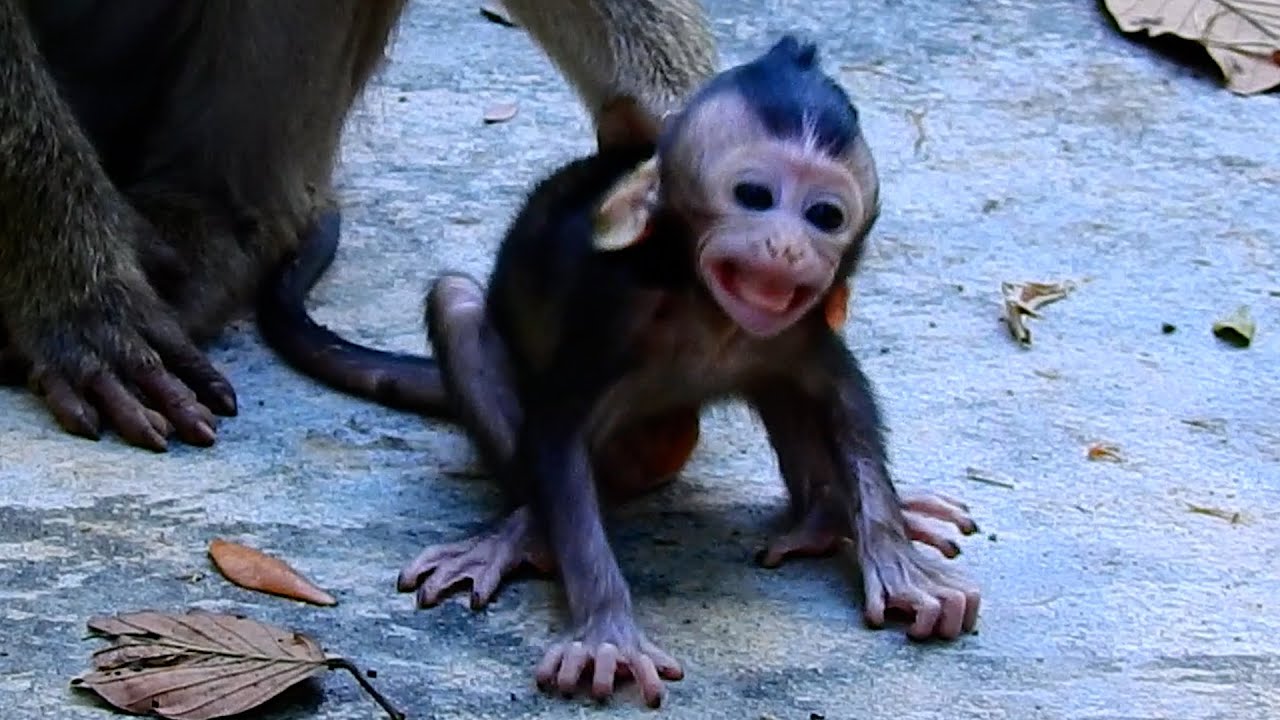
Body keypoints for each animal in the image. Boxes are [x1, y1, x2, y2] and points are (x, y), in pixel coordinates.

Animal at [265, 35, 983, 707]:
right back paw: (522, 531)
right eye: (754, 196)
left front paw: (895, 556)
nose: (786, 248)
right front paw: (606, 631)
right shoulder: (614, 310)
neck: (704, 306)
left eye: (825, 215)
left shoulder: (797, 324)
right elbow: (558, 439)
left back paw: (827, 517)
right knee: (461, 308)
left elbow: (841, 396)